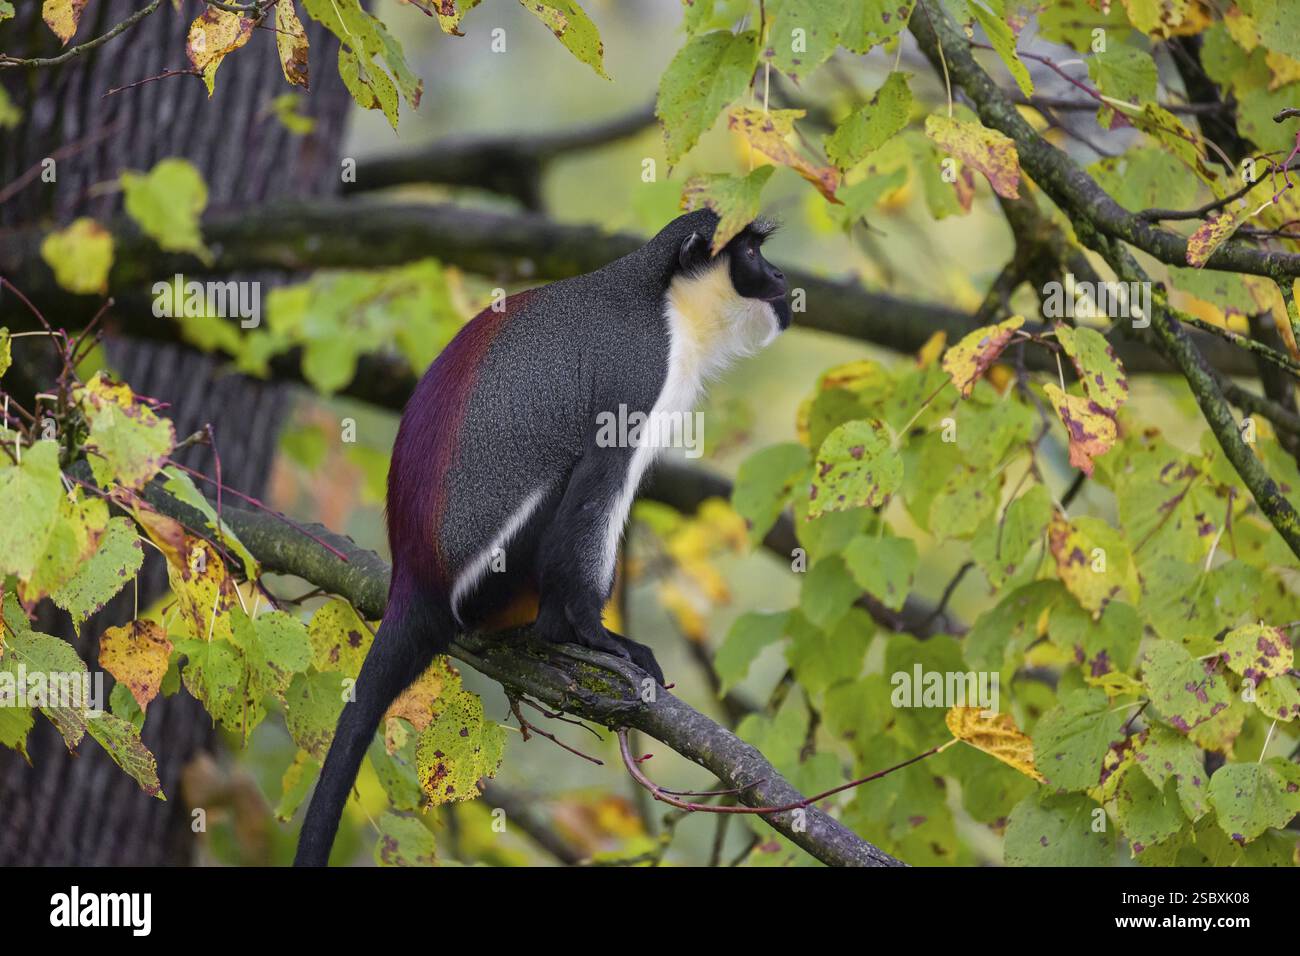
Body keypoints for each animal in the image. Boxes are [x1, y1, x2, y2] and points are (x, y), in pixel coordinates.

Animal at [294, 209, 790, 866]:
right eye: (752, 253)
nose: (781, 276)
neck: (666, 301)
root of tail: (414, 584)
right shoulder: (638, 370)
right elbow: (598, 484)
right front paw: (594, 635)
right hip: (492, 572)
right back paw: (553, 629)